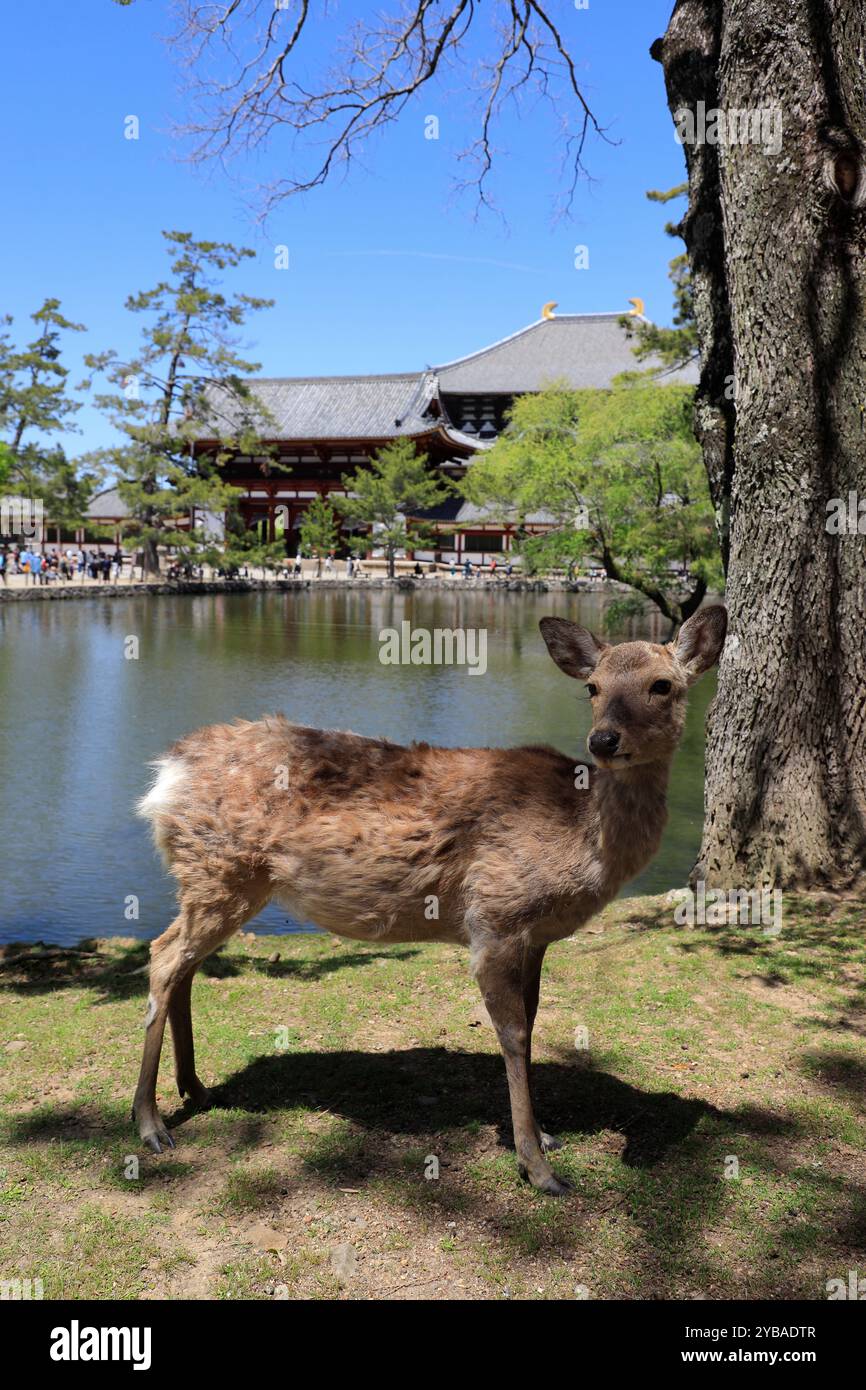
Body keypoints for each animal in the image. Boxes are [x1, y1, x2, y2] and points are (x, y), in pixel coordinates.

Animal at [133, 603, 727, 1196]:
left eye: (662, 685)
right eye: (592, 686)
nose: (603, 741)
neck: (576, 837)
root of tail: (166, 774)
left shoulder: (536, 936)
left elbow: (534, 1020)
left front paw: (546, 1136)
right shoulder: (493, 917)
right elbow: (513, 1033)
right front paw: (538, 1166)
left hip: (216, 879)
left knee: (183, 964)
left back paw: (197, 1089)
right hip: (222, 871)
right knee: (162, 958)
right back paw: (151, 1125)